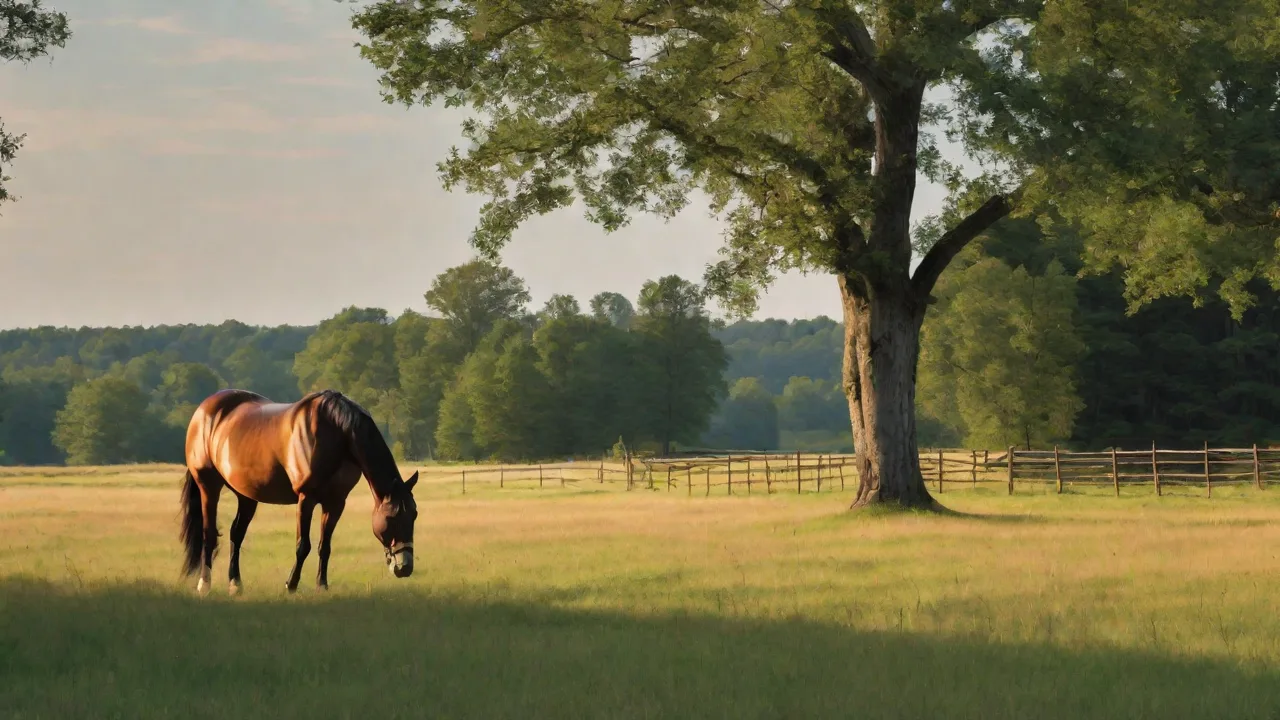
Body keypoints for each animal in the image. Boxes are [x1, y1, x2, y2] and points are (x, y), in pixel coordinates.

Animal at [179, 388, 419, 595]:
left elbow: (325, 546)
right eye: (391, 517)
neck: (336, 433)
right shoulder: (306, 498)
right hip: (208, 487)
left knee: (236, 534)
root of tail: (204, 410)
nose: (405, 567)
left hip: (246, 495)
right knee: (209, 534)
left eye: (414, 515)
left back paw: (235, 584)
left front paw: (322, 585)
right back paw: (204, 584)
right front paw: (291, 584)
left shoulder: (335, 502)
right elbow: (303, 545)